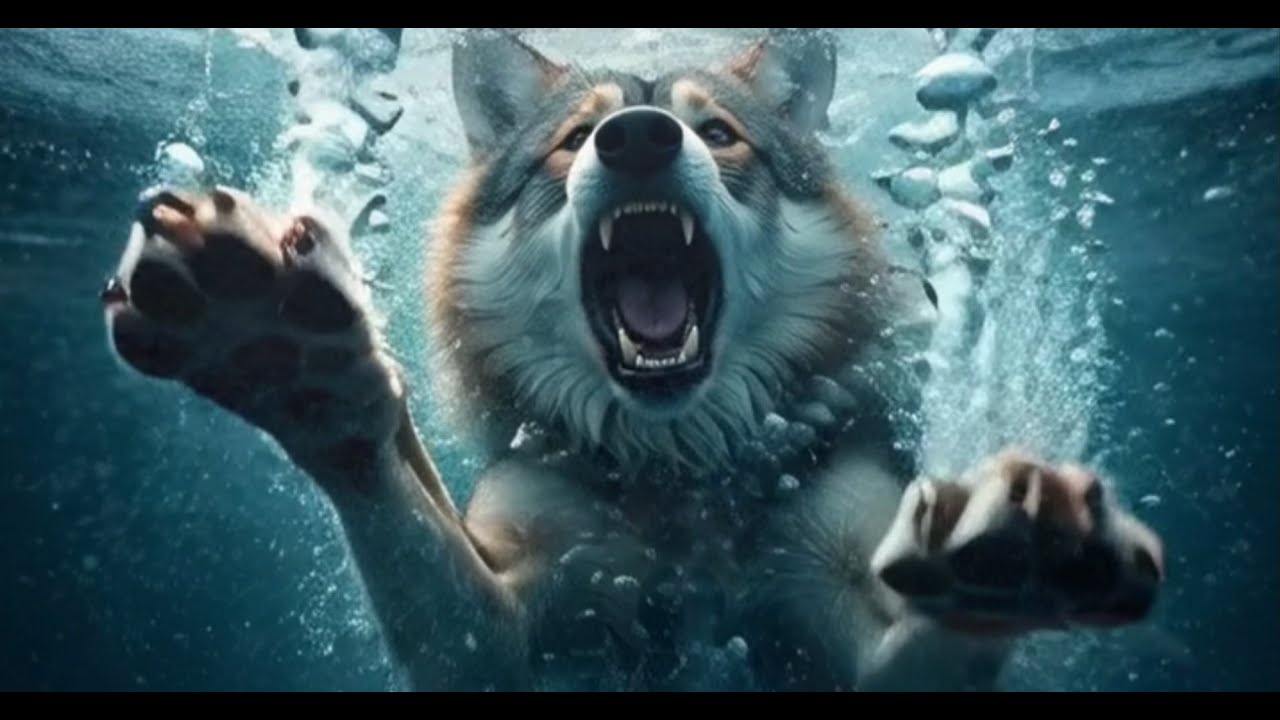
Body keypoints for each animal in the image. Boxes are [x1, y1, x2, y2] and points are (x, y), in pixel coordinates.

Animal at [100, 29, 1165, 691]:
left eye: (719, 133)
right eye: (577, 137)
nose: (640, 136)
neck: (680, 471)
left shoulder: (854, 634)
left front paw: (1008, 559)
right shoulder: (496, 638)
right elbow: (399, 503)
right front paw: (280, 352)